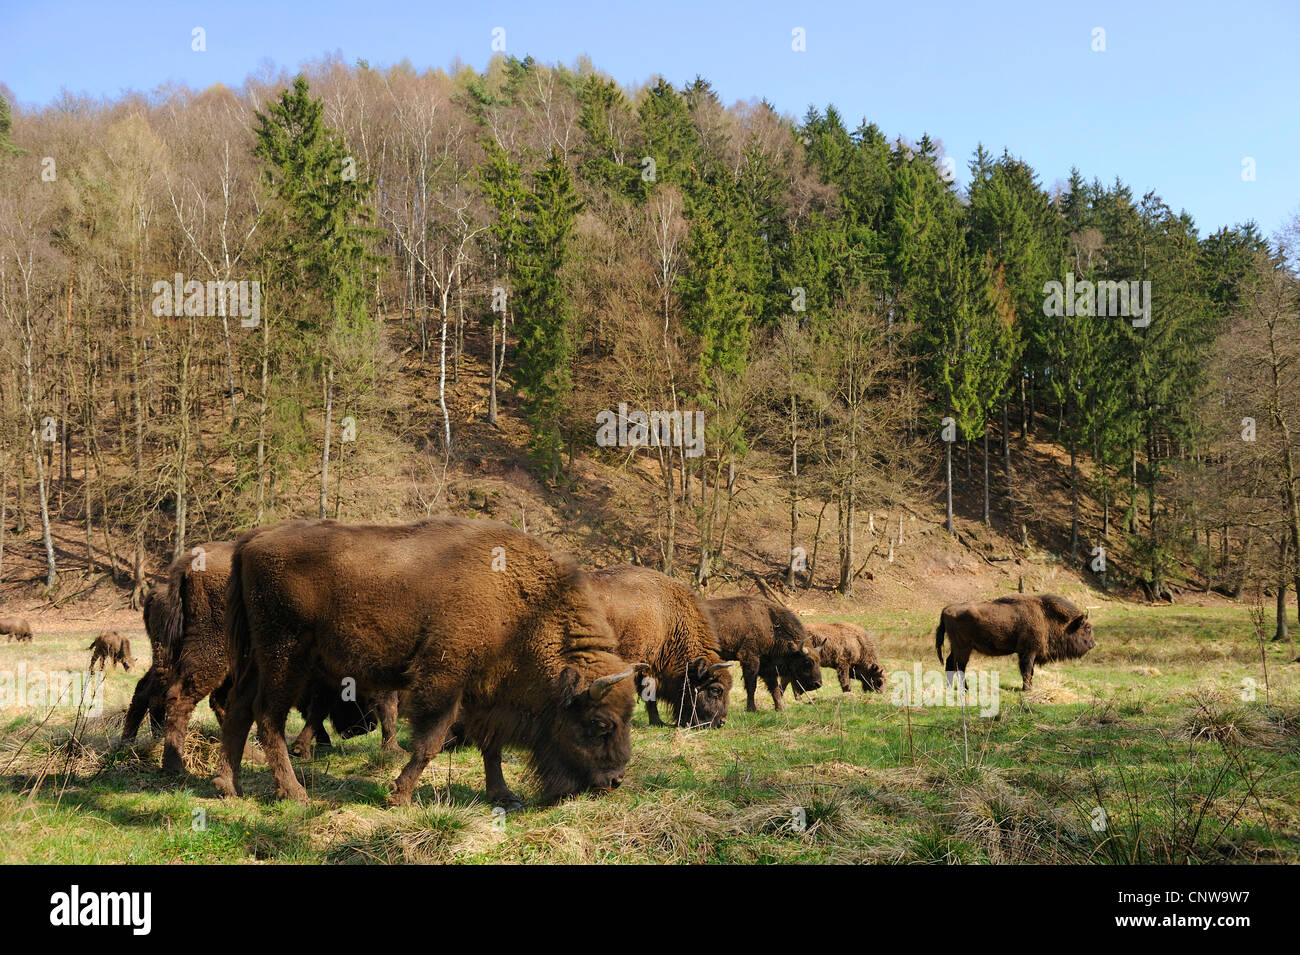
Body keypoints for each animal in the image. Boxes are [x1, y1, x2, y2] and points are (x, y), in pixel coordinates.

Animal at [212, 518, 639, 808]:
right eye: (599, 723)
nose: (616, 780)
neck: (522, 608)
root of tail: (253, 540)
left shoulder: (485, 692)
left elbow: (491, 746)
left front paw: (504, 794)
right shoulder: (444, 678)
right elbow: (431, 740)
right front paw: (399, 794)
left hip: (258, 658)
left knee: (239, 709)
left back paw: (228, 787)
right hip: (285, 657)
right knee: (268, 716)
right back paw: (293, 792)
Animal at [935, 593, 1096, 691]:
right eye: (1087, 627)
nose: (1093, 644)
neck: (1044, 616)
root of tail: (946, 609)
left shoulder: (1030, 653)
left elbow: (1030, 671)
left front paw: (1029, 688)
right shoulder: (1028, 652)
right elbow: (1027, 671)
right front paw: (1027, 689)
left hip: (956, 647)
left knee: (950, 663)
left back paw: (950, 688)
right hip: (964, 647)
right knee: (960, 666)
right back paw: (965, 689)